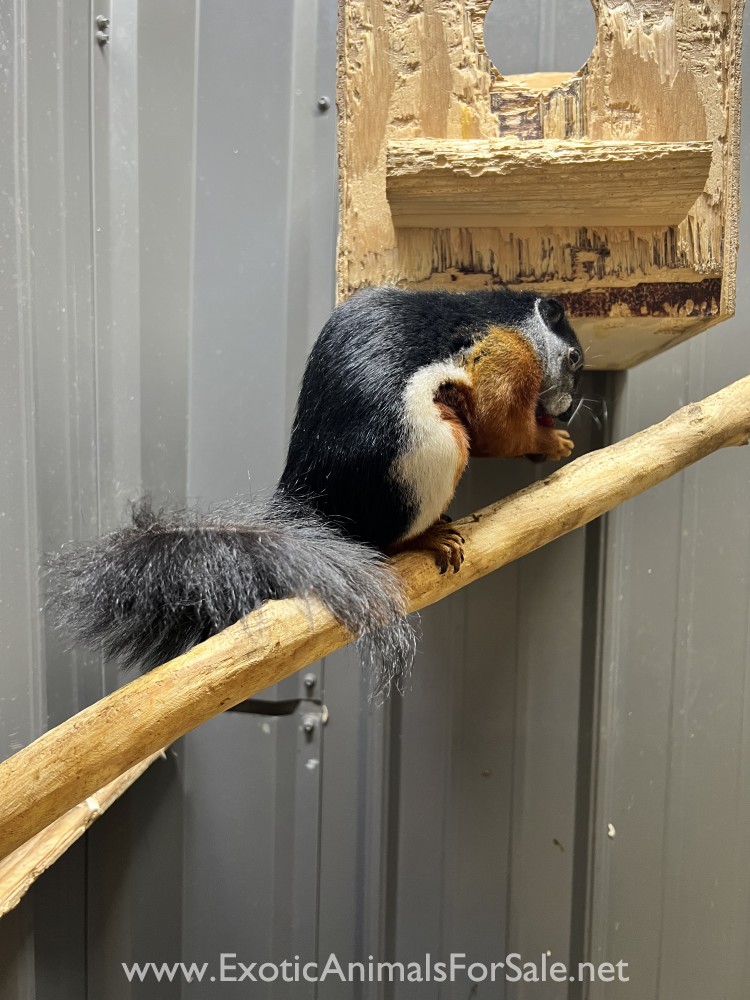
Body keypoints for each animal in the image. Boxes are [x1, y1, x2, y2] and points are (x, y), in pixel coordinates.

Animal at [49, 286, 584, 697]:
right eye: (576, 357)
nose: (571, 403)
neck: (510, 321)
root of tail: (308, 506)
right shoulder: (502, 363)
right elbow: (499, 429)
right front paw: (551, 440)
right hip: (431, 451)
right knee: (385, 540)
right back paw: (428, 536)